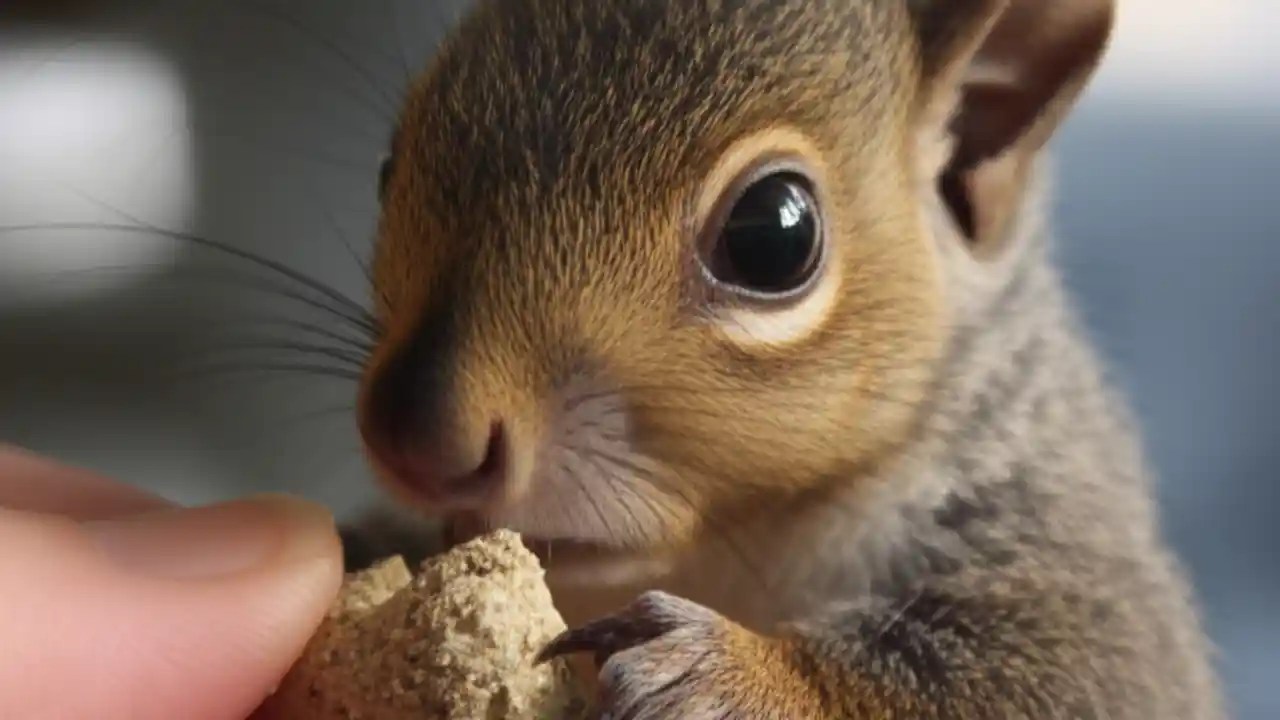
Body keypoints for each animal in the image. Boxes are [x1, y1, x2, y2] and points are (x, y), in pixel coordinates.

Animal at [342, 0, 1224, 717]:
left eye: (772, 235)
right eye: (388, 167)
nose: (417, 441)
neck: (743, 542)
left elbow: (1075, 672)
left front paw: (728, 672)